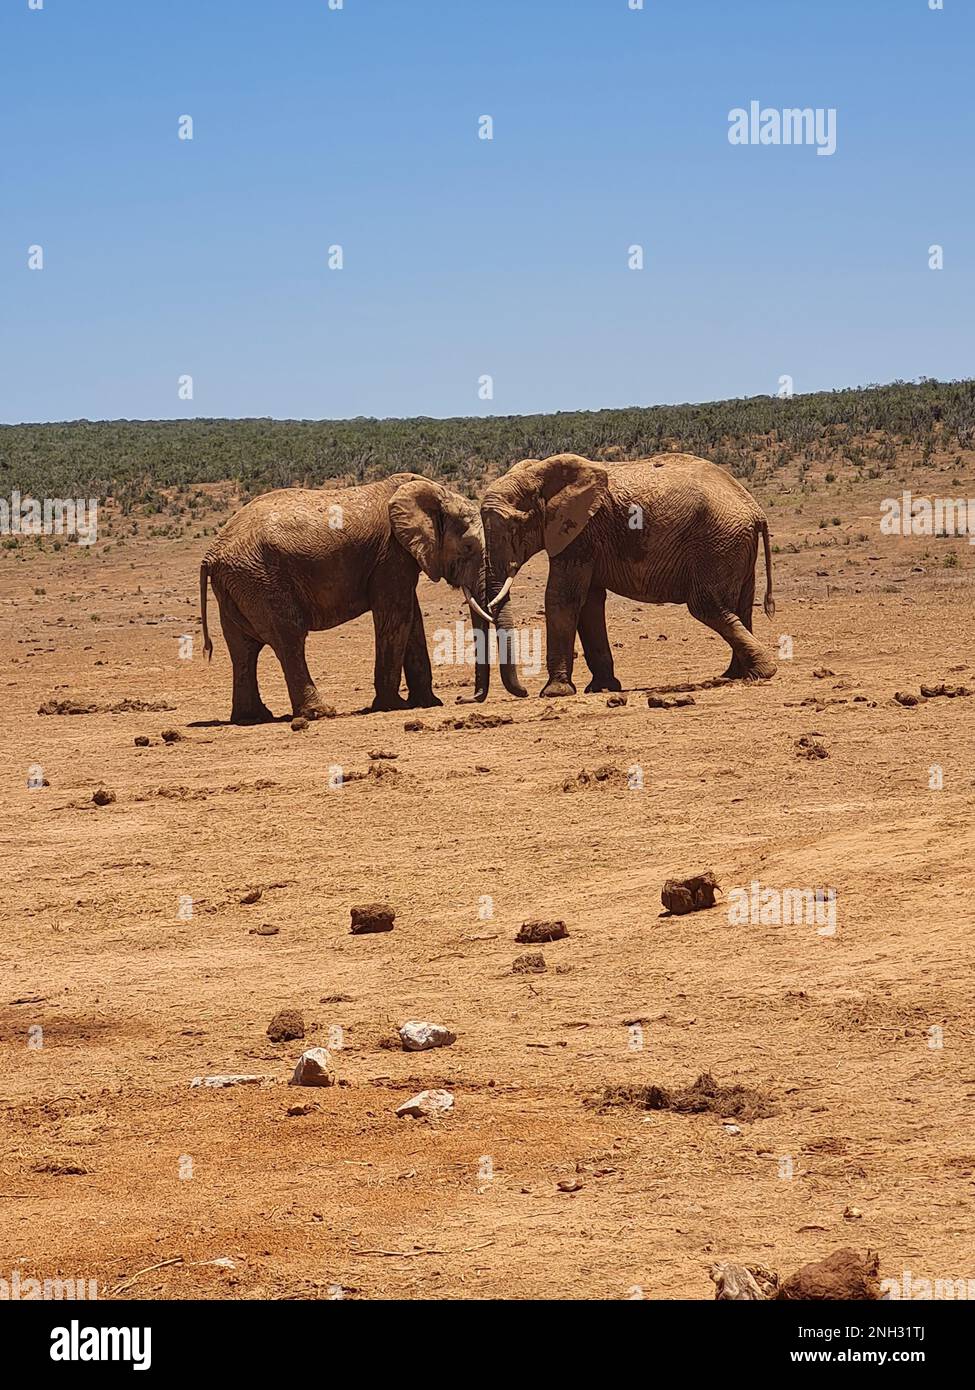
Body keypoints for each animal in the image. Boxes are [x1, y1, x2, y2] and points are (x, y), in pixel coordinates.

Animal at [199, 474, 490, 721]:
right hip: (261, 579)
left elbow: (412, 619)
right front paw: (392, 706)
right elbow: (396, 617)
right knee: (289, 639)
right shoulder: (390, 553)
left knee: (243, 649)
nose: (462, 698)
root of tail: (211, 554)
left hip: (238, 583)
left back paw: (252, 717)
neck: (436, 492)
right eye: (468, 547)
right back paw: (320, 713)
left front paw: (429, 703)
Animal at [464, 452, 776, 700]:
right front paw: (602, 688)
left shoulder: (580, 533)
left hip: (718, 542)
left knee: (706, 606)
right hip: (733, 544)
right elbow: (589, 603)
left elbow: (561, 598)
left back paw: (762, 672)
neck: (539, 473)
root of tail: (755, 509)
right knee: (739, 608)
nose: (524, 691)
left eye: (514, 527)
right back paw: (736, 675)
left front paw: (554, 693)